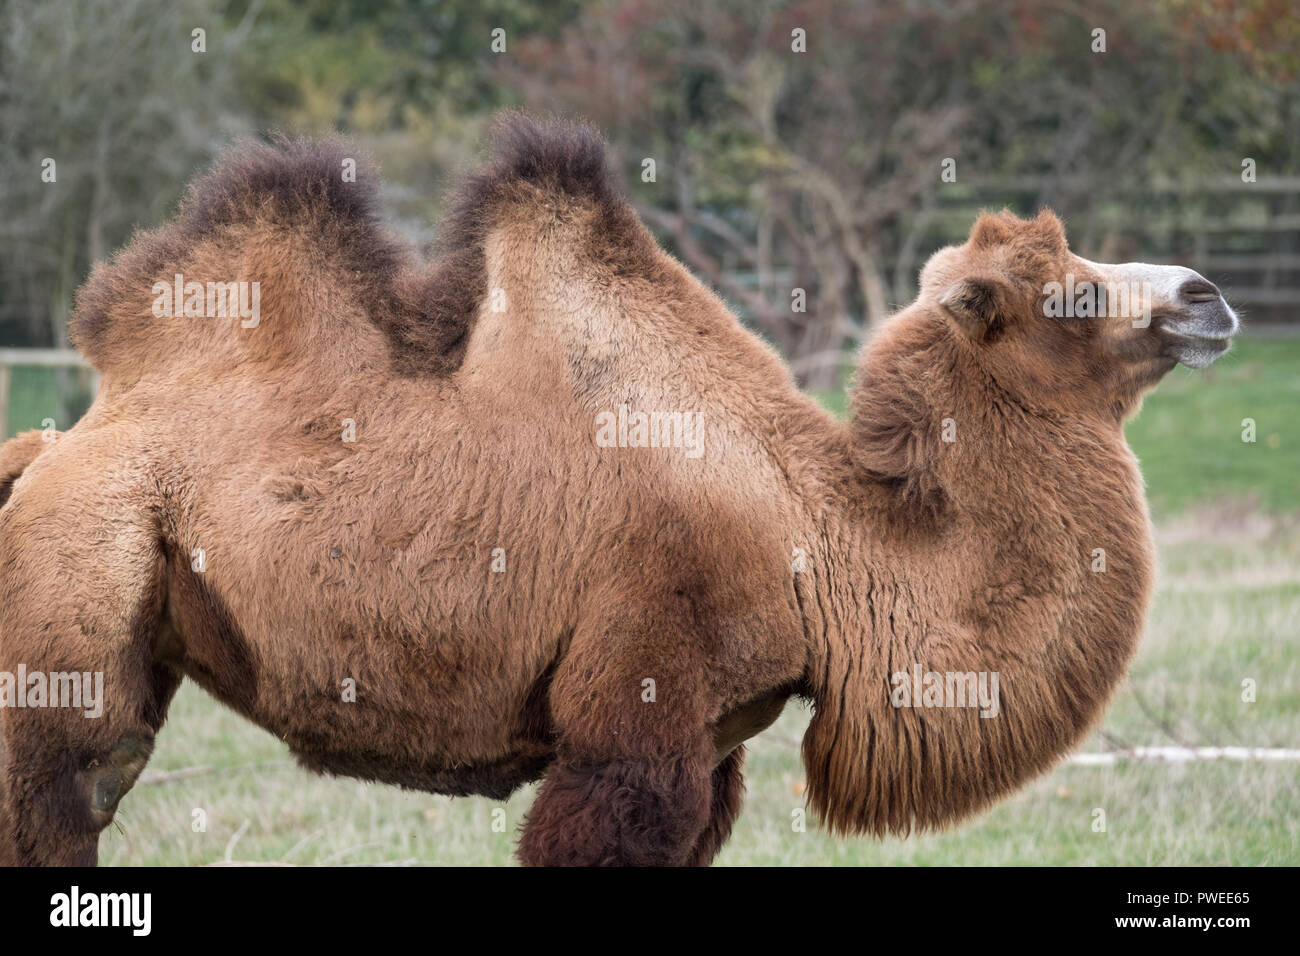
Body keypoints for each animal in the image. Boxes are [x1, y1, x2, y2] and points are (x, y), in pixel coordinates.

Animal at [0, 116, 1238, 866]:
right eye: (1067, 296)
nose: (1206, 294)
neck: (811, 536)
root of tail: (54, 445)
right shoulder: (635, 709)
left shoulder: (715, 750)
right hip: (82, 574)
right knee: (63, 781)